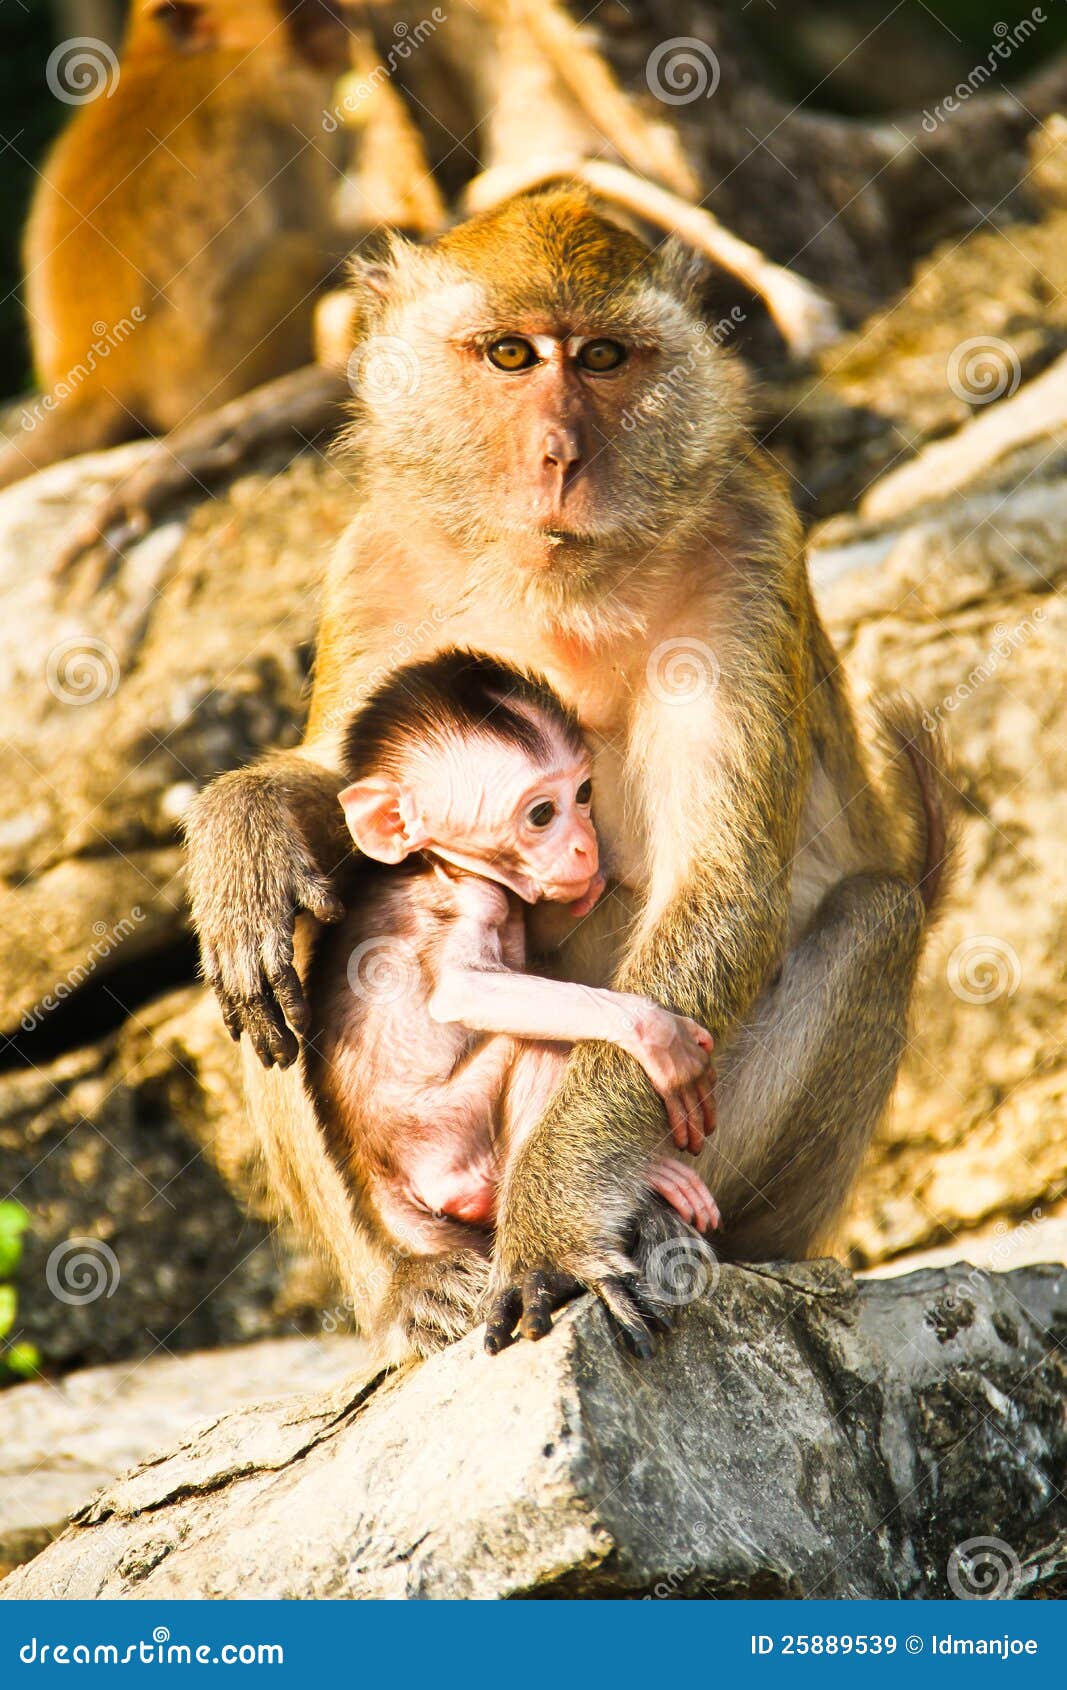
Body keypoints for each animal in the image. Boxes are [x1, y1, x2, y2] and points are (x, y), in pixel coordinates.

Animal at [0, 1, 351, 501]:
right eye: (296, 9)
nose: (339, 18)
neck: (167, 59)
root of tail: (101, 382)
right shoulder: (280, 97)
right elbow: (320, 230)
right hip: (218, 371)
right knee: (300, 252)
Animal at [302, 651, 717, 1334]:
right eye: (541, 814)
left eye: (583, 795)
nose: (585, 846)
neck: (442, 863)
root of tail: (375, 1181)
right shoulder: (473, 900)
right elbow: (464, 990)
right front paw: (653, 1030)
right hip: (445, 1146)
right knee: (537, 1047)